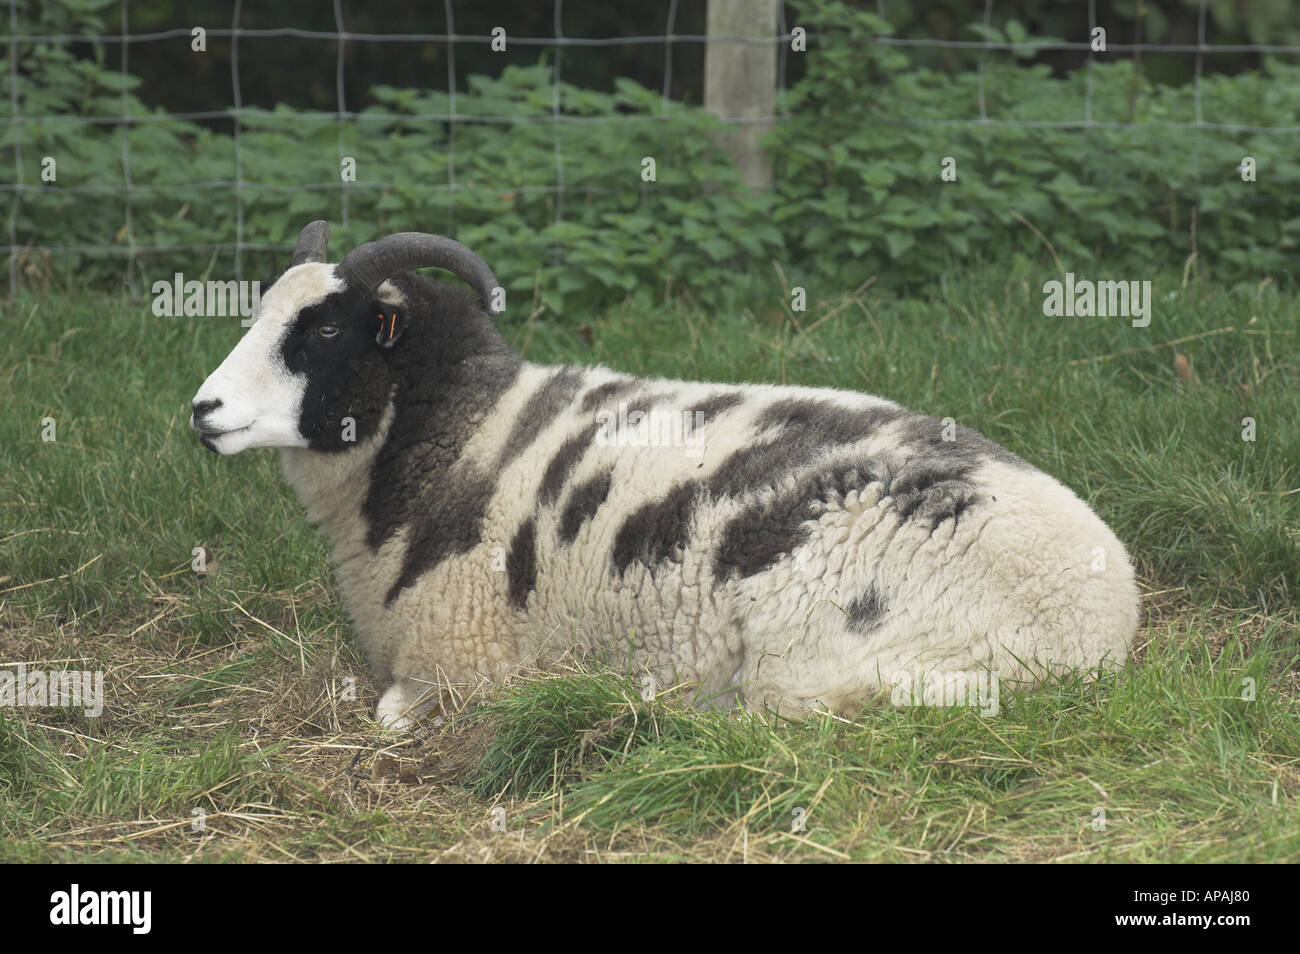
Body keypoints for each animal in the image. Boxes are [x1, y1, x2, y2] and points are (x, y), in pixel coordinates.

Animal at [191, 220, 1139, 729]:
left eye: (323, 332)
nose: (202, 409)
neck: (463, 433)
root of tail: (1105, 624)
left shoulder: (459, 657)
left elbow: (389, 718)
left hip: (813, 644)